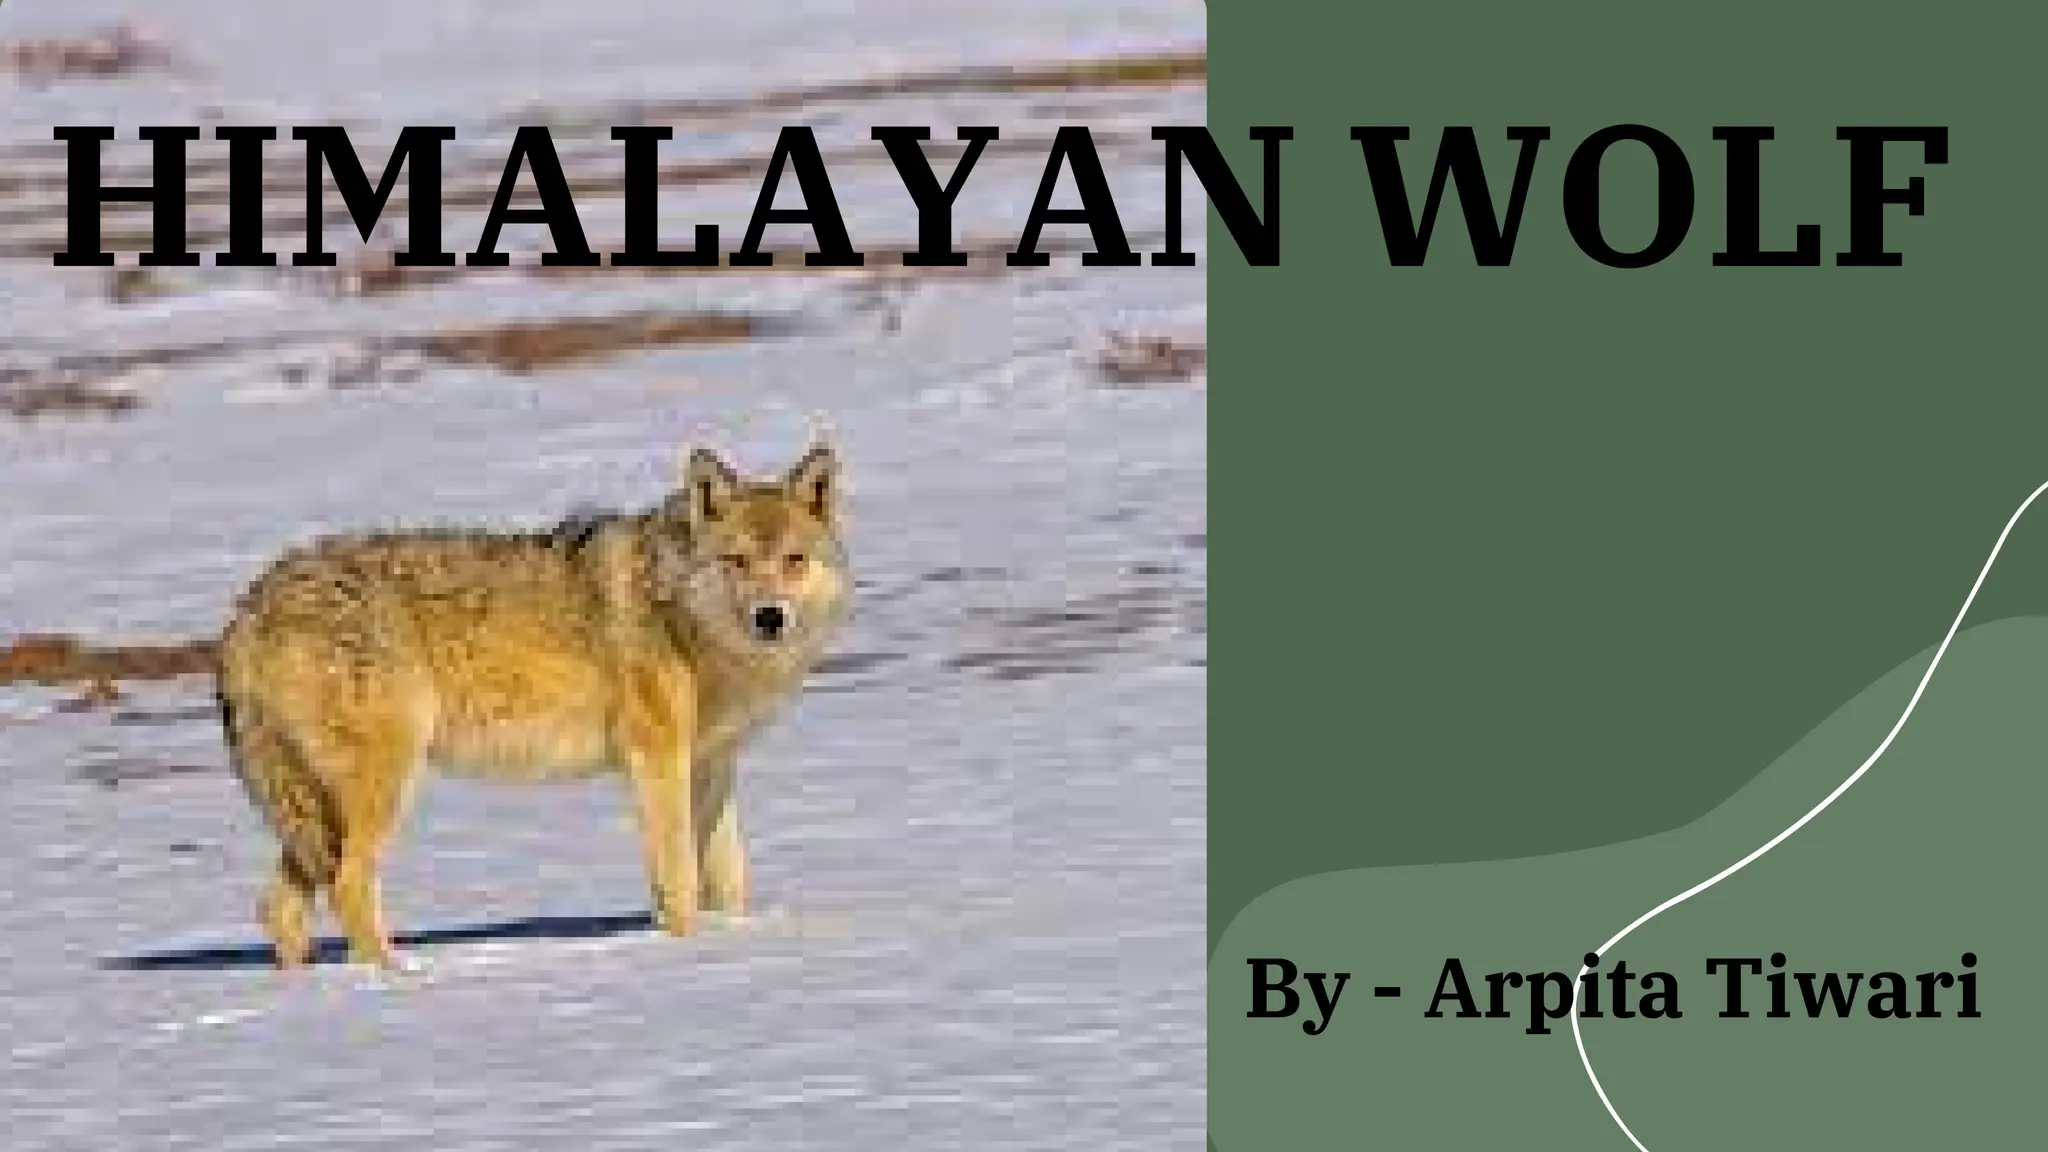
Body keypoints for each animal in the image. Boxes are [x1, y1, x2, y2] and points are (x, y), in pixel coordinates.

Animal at [214, 441, 850, 970]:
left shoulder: (711, 765)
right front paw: (687, 949)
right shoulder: (657, 761)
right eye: (736, 561)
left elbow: (729, 881)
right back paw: (396, 980)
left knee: (278, 906)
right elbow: (680, 882)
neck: (693, 628)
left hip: (313, 815)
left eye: (794, 559)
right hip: (384, 784)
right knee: (347, 885)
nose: (770, 617)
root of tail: (249, 606)